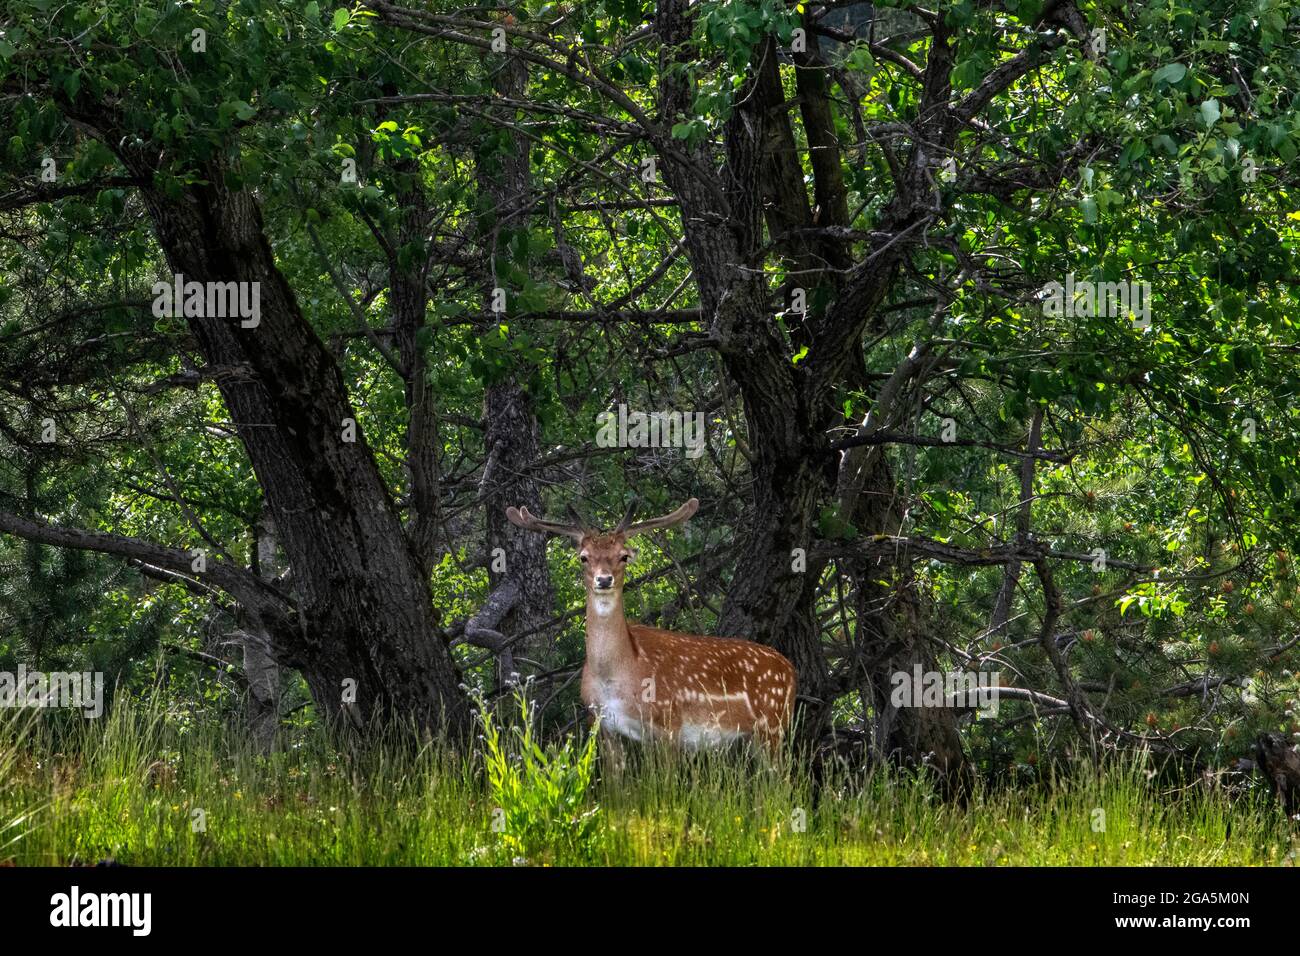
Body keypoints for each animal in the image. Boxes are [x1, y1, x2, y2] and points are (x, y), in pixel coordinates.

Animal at [505, 497, 796, 764]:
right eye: (583, 557)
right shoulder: (600, 722)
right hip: (755, 736)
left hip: (773, 724)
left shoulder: (668, 721)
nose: (604, 579)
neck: (617, 675)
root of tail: (791, 669)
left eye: (623, 556)